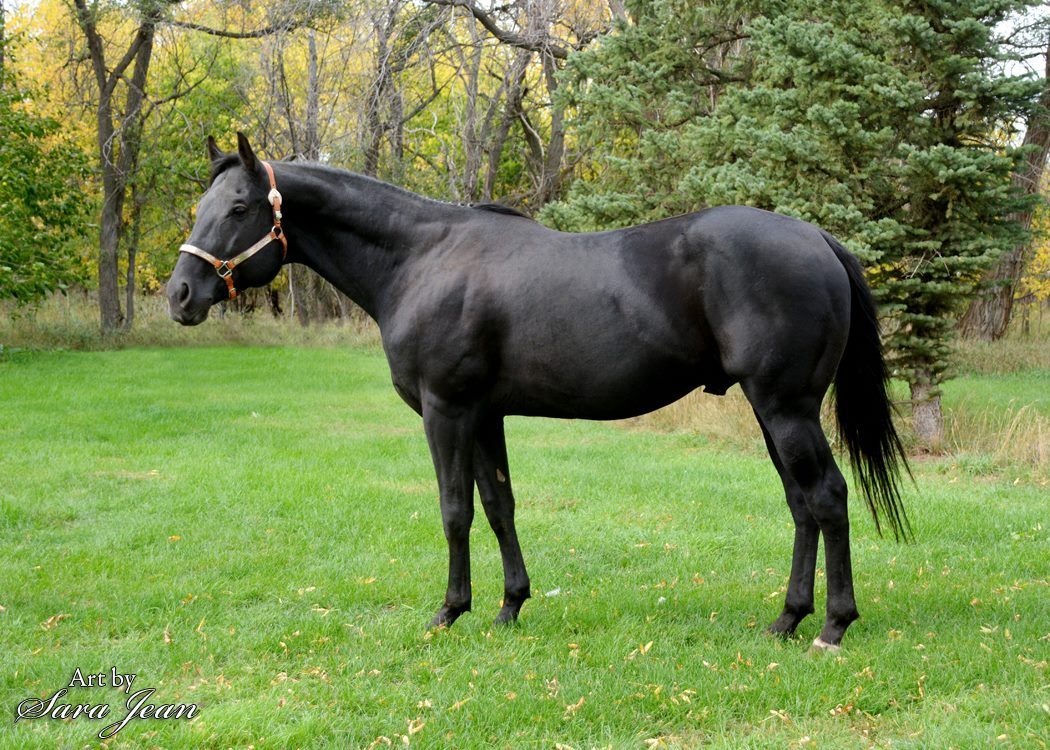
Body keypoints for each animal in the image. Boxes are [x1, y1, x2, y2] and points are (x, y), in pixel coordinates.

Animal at [167, 133, 910, 651]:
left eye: (238, 208)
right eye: (202, 207)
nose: (180, 295)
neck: (421, 258)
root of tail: (817, 238)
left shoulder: (445, 410)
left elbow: (454, 511)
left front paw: (448, 611)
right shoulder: (484, 413)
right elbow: (499, 507)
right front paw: (508, 607)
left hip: (787, 407)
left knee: (827, 498)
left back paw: (832, 627)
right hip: (769, 408)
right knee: (801, 505)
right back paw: (786, 619)